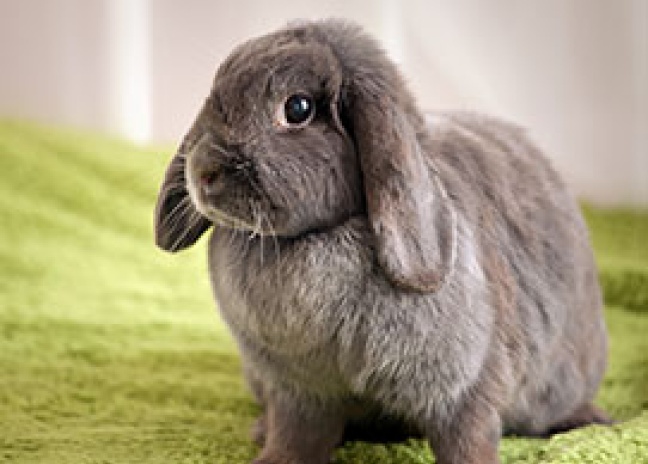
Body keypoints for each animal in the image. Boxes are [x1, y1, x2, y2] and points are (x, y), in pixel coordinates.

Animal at [154, 19, 611, 464]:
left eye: (297, 108)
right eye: (215, 95)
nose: (204, 171)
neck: (315, 238)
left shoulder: (464, 386)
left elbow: (467, 438)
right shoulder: (299, 391)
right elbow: (297, 437)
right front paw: (272, 457)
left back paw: (589, 419)